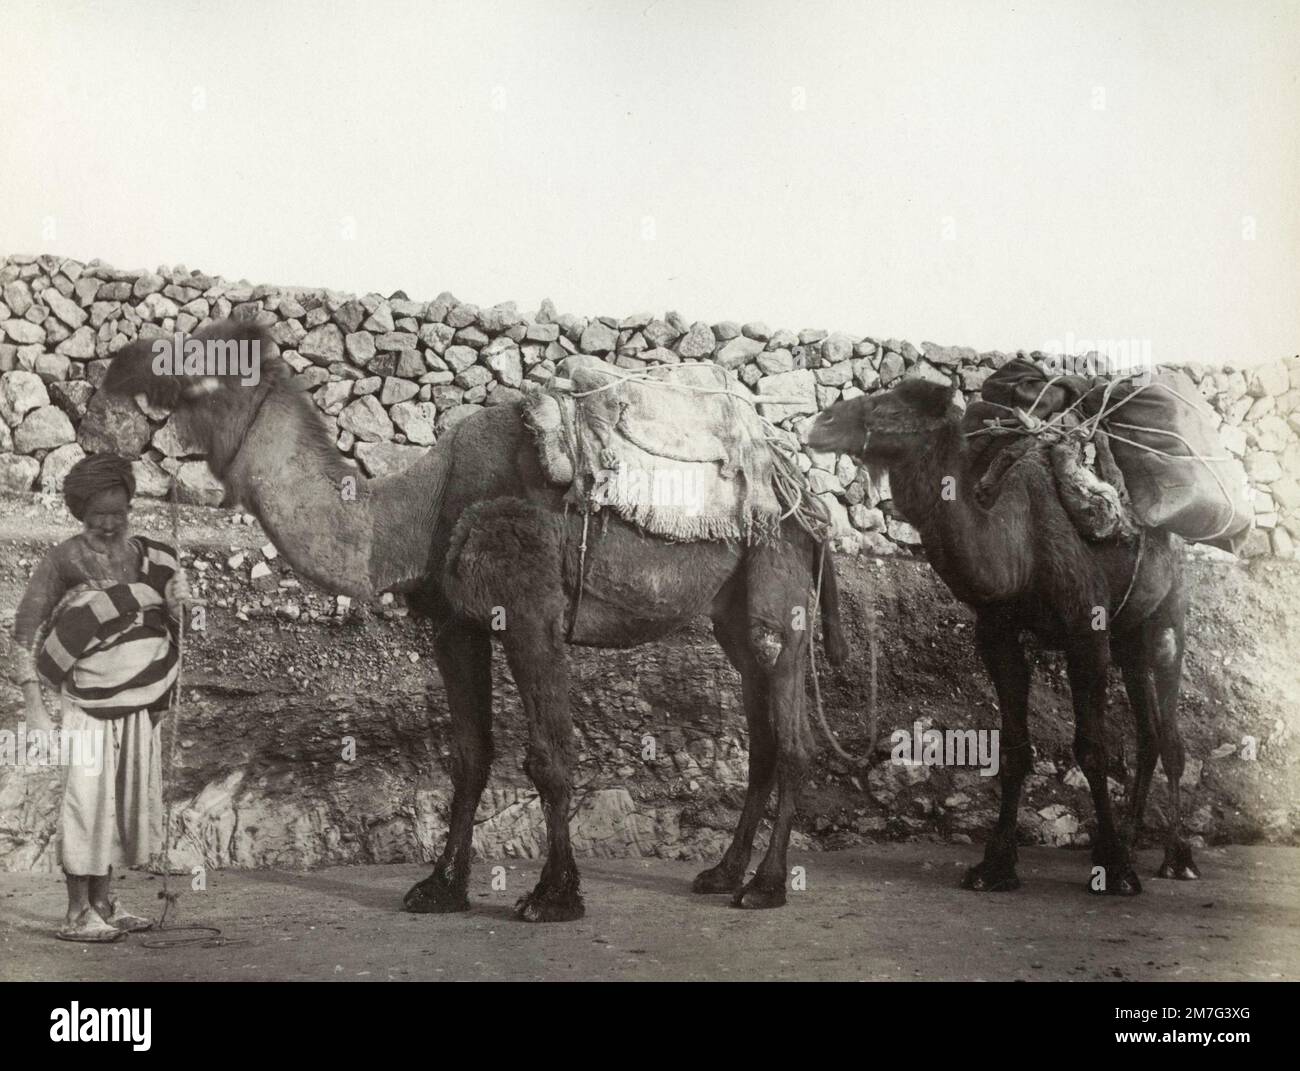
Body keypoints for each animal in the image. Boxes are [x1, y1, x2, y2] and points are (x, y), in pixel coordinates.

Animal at [104, 320, 847, 920]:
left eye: (200, 355)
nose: (121, 365)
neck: (414, 514)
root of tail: (804, 491)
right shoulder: (455, 623)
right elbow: (468, 754)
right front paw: (439, 887)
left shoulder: (528, 606)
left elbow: (548, 753)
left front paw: (553, 896)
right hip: (733, 610)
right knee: (761, 733)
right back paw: (723, 873)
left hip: (777, 571)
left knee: (793, 730)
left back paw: (766, 885)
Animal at [807, 378, 1198, 896]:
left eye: (892, 408)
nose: (821, 423)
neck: (1019, 546)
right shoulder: (997, 636)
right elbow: (1013, 750)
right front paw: (994, 866)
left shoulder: (1085, 634)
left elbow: (1091, 750)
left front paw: (1116, 872)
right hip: (1129, 638)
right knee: (1148, 734)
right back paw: (1128, 842)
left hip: (1168, 618)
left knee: (1171, 739)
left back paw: (1175, 857)